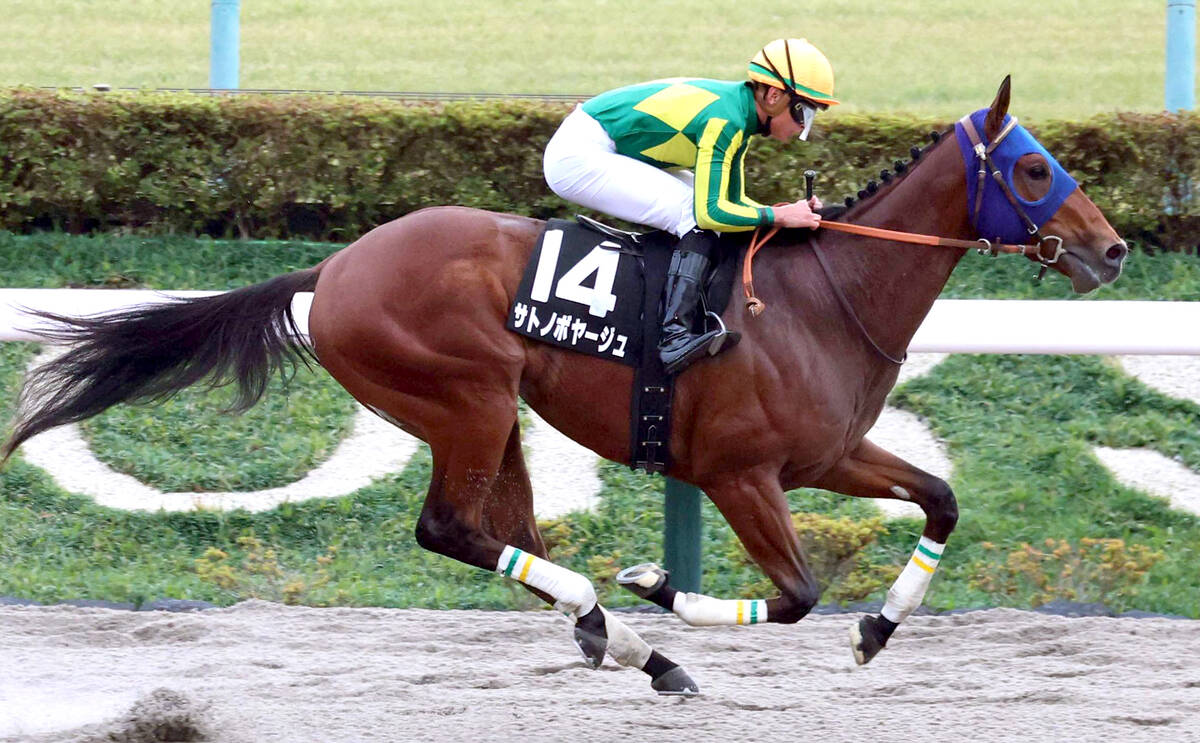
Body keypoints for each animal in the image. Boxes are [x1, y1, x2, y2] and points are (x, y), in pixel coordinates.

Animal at [1, 78, 1125, 696]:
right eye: (1033, 170)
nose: (1111, 250)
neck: (824, 294)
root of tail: (336, 267)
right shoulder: (738, 472)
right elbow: (797, 592)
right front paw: (660, 583)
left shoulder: (830, 452)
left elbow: (940, 499)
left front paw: (879, 626)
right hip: (465, 395)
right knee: (451, 529)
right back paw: (621, 624)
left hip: (490, 414)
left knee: (507, 534)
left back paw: (623, 644)